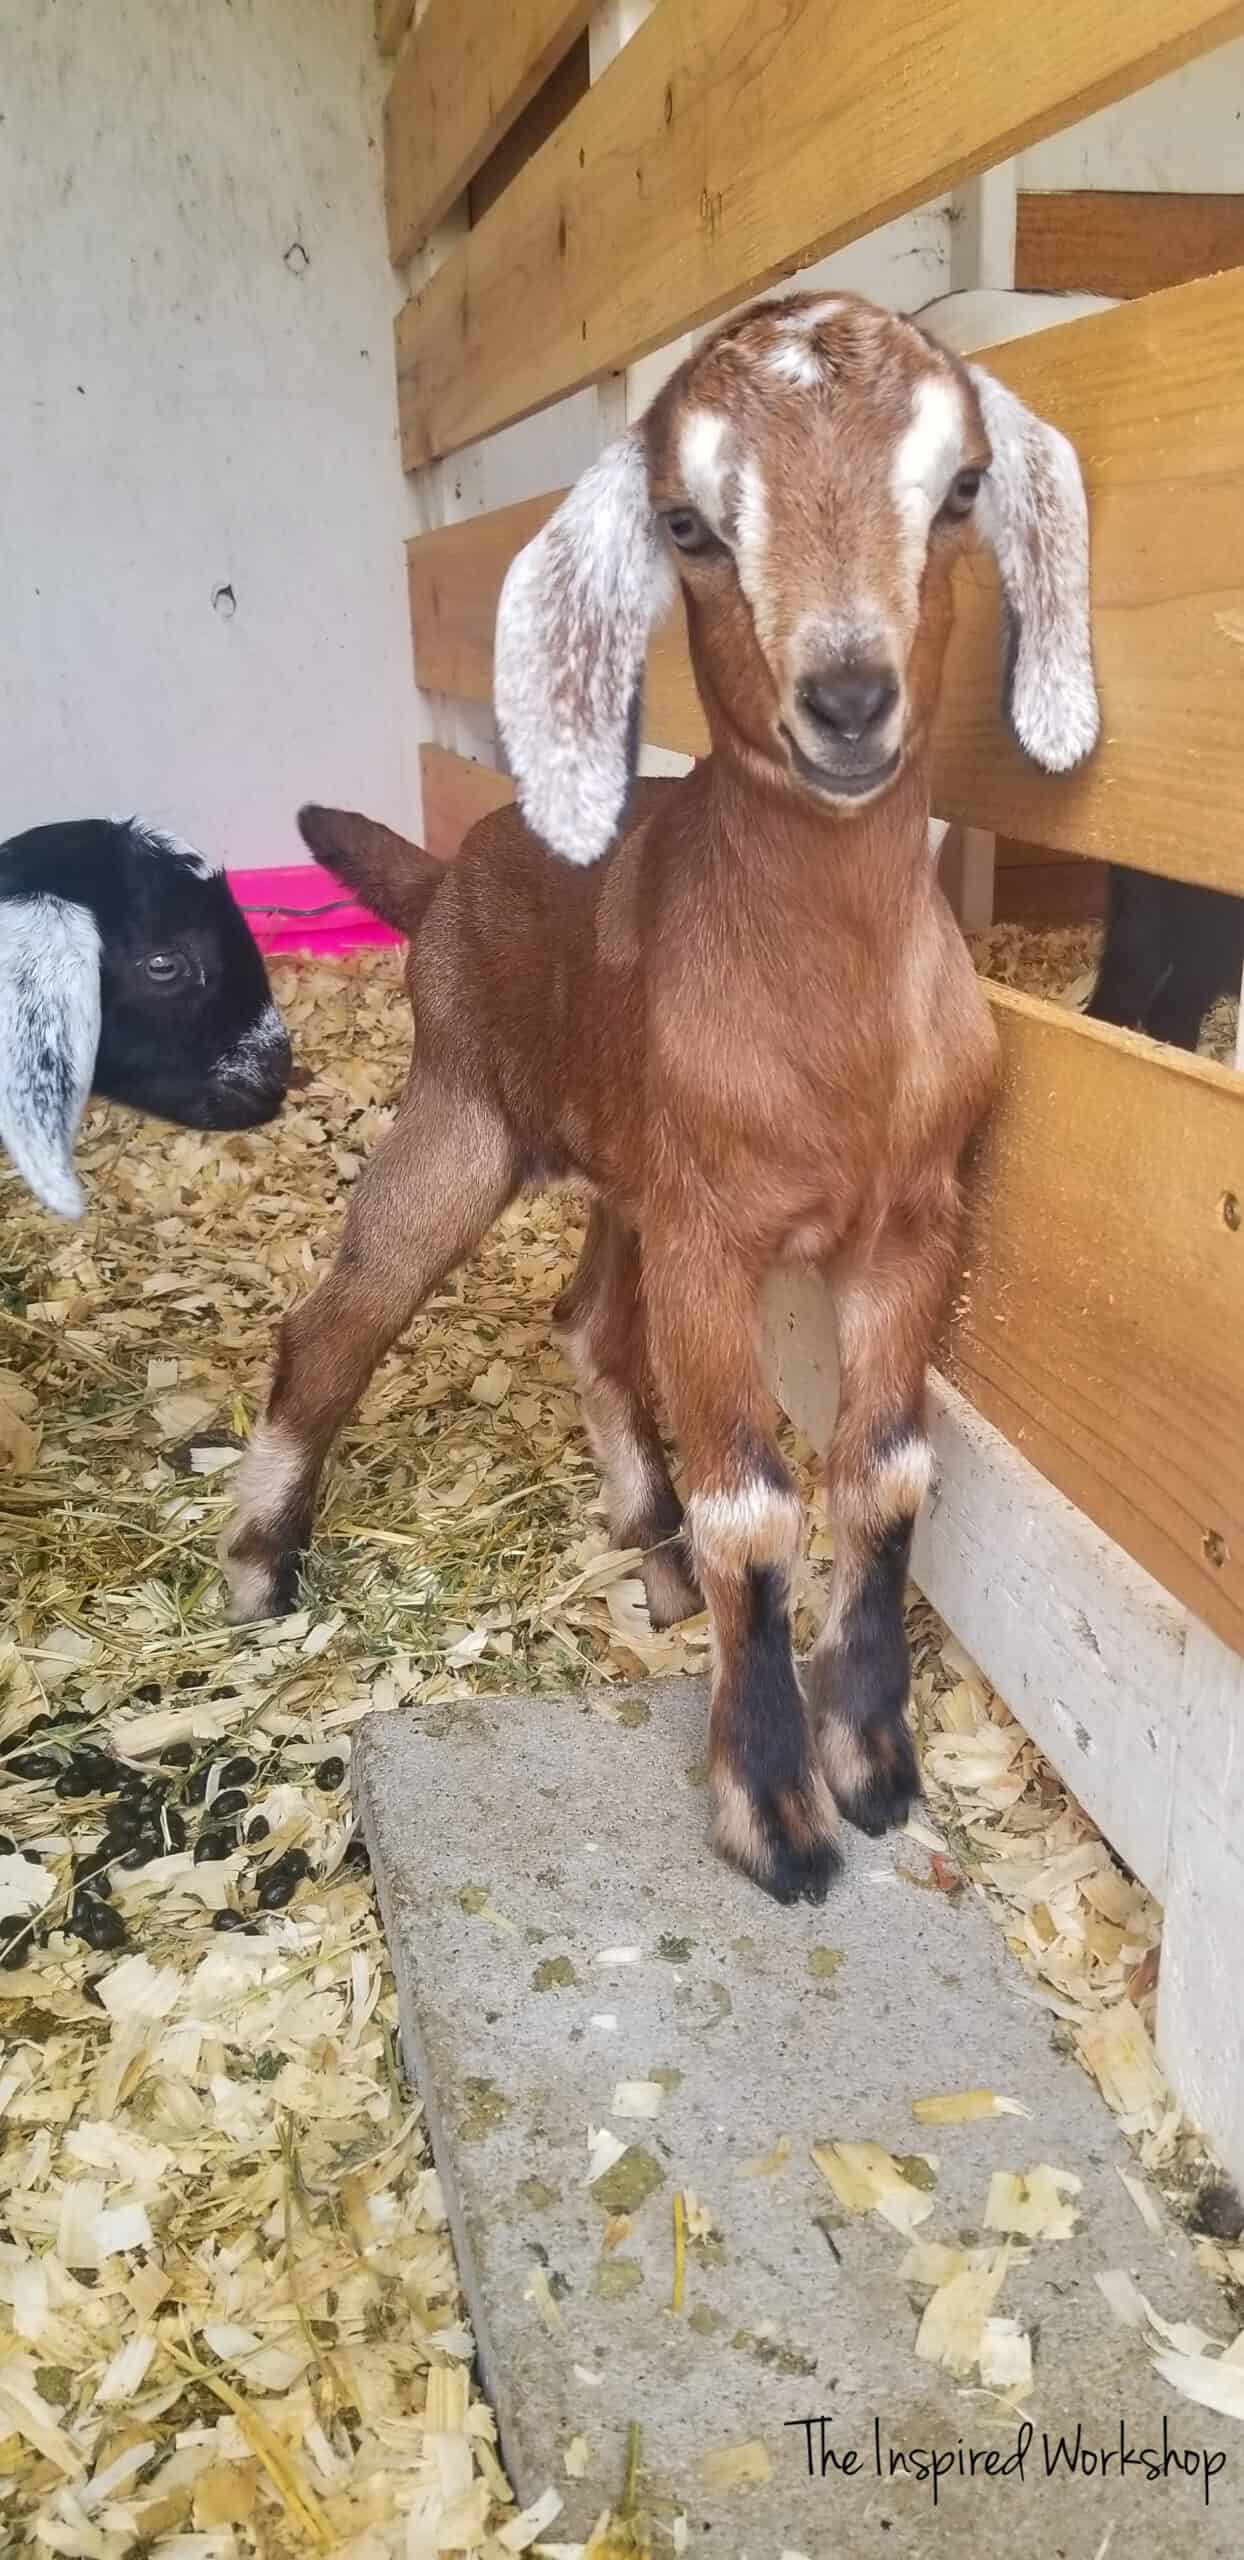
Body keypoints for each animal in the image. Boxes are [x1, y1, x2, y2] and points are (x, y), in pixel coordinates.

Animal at [222, 289, 1097, 1904]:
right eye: (688, 523)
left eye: (957, 490)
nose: (847, 700)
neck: (831, 1031)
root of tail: (450, 874)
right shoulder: (713, 1235)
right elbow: (756, 1498)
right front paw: (775, 1815)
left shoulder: (909, 1222)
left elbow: (884, 1474)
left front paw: (875, 1765)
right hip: (463, 1119)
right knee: (333, 1321)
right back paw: (259, 1562)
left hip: (626, 1175)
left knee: (581, 1321)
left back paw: (653, 1543)